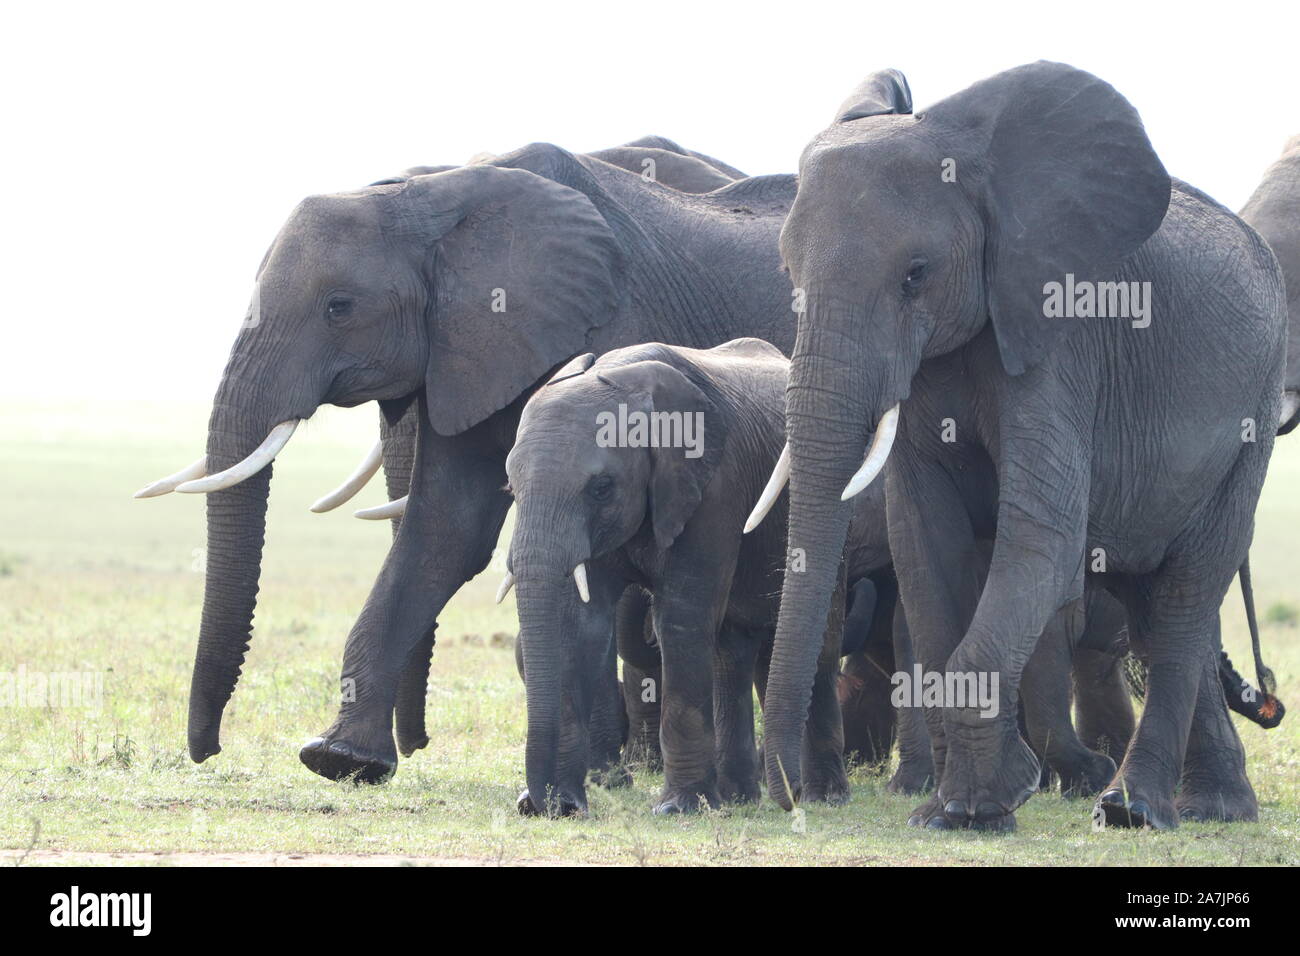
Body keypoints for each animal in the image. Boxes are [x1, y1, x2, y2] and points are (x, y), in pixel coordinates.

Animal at [135, 135, 801, 785]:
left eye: (339, 307)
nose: (207, 750)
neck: (434, 200)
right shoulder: (467, 349)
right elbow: (447, 529)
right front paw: (342, 759)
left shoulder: (604, 325)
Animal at [750, 62, 1286, 831]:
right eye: (789, 274)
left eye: (915, 275)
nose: (791, 800)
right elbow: (925, 547)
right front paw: (950, 808)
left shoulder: (1062, 339)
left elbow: (1041, 541)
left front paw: (976, 807)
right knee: (1152, 606)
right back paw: (1216, 808)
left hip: (1254, 415)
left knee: (1187, 595)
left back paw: (1133, 809)